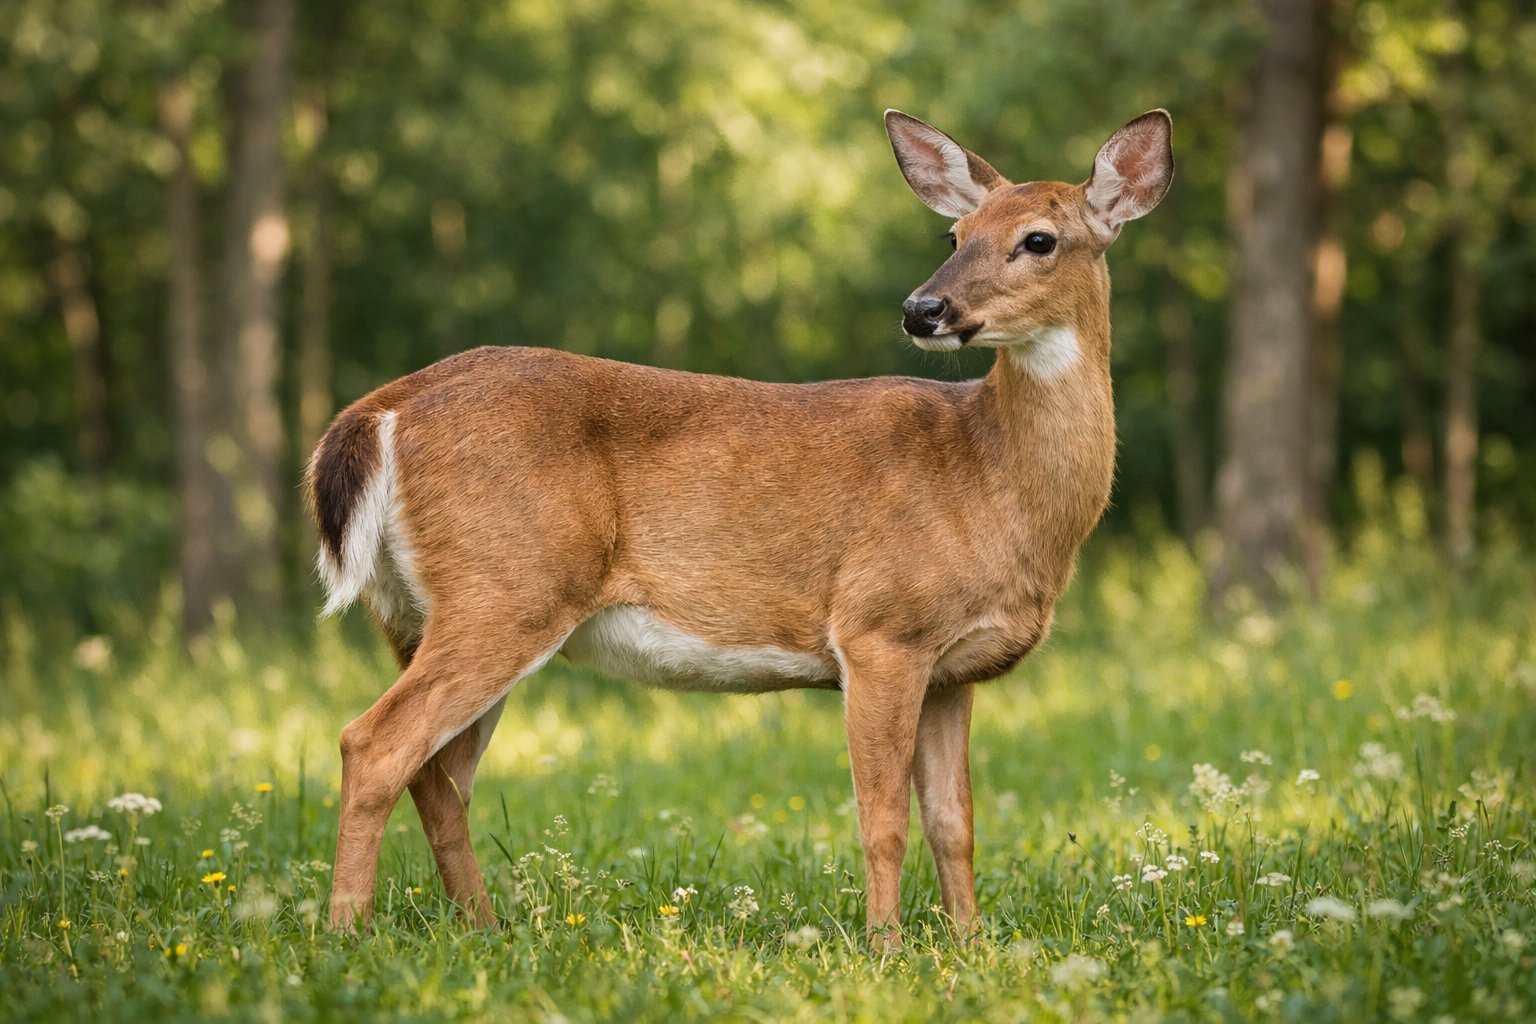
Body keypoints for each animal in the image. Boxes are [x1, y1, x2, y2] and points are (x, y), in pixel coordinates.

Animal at [306, 108, 1173, 946]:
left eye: (1039, 239)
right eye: (953, 236)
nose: (922, 309)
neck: (990, 477)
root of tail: (380, 411)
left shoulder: (953, 671)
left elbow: (954, 824)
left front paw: (970, 946)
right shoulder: (879, 627)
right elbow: (883, 819)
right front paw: (886, 948)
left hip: (423, 613)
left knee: (439, 774)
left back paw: (483, 929)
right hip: (506, 588)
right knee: (375, 744)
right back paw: (349, 933)